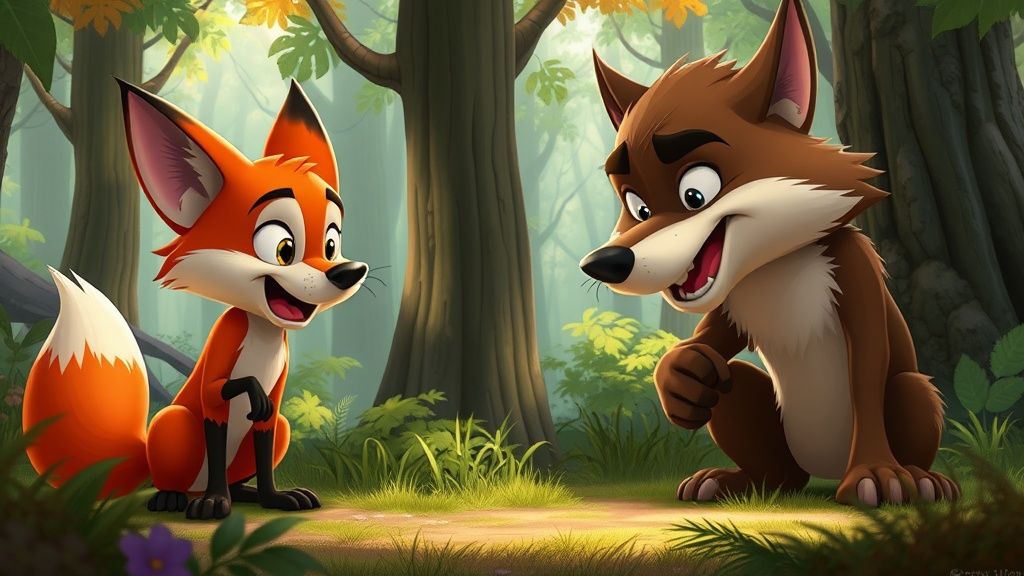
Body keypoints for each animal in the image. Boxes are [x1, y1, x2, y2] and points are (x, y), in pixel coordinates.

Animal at [21, 80, 367, 520]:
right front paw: (215, 504)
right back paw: (176, 497)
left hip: (284, 428)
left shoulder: (274, 409)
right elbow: (221, 397)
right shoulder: (219, 366)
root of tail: (143, 459)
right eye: (283, 248)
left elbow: (265, 441)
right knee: (176, 477)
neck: (263, 332)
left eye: (331, 244)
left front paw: (274, 498)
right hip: (174, 422)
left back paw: (245, 494)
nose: (348, 272)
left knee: (247, 468)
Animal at [581, 0, 960, 507]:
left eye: (695, 194)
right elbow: (706, 347)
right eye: (636, 206)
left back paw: (922, 479)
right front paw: (679, 377)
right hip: (768, 431)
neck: (776, 264)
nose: (602, 264)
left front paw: (877, 474)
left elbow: (867, 370)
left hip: (913, 391)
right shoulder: (731, 304)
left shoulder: (856, 273)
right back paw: (727, 480)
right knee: (769, 452)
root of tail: (825, 471)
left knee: (906, 390)